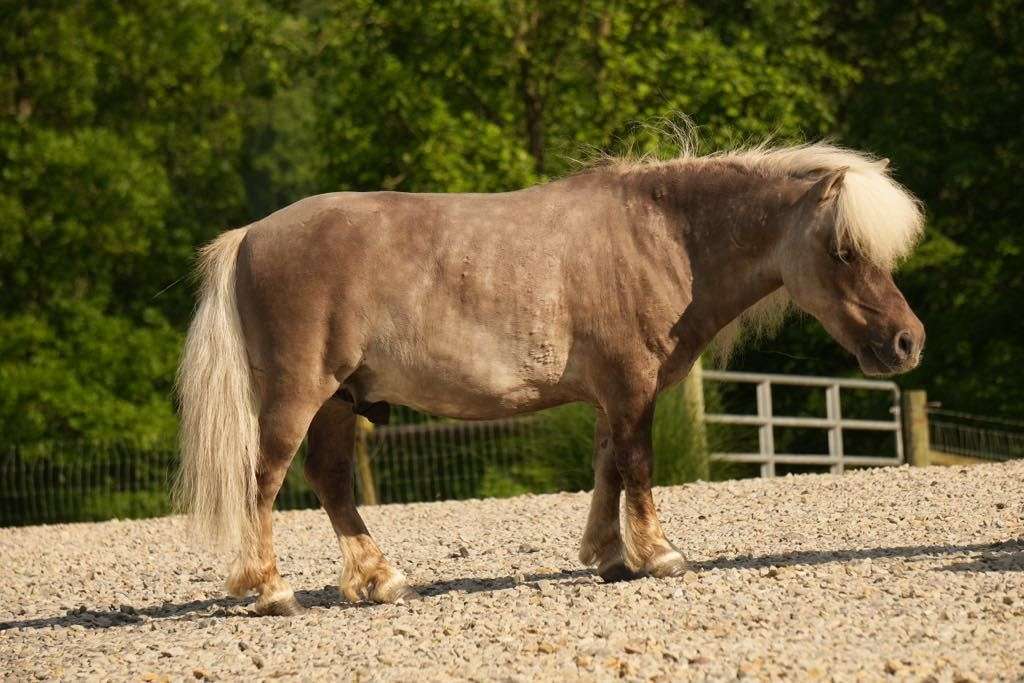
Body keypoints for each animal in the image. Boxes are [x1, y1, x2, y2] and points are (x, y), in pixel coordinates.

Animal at [175, 141, 925, 616]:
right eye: (844, 250)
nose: (906, 340)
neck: (662, 238)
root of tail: (251, 234)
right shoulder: (631, 386)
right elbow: (638, 467)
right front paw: (658, 554)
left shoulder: (612, 394)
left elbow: (607, 469)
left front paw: (610, 555)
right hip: (299, 394)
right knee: (264, 480)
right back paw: (273, 591)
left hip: (337, 400)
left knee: (330, 481)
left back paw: (381, 579)